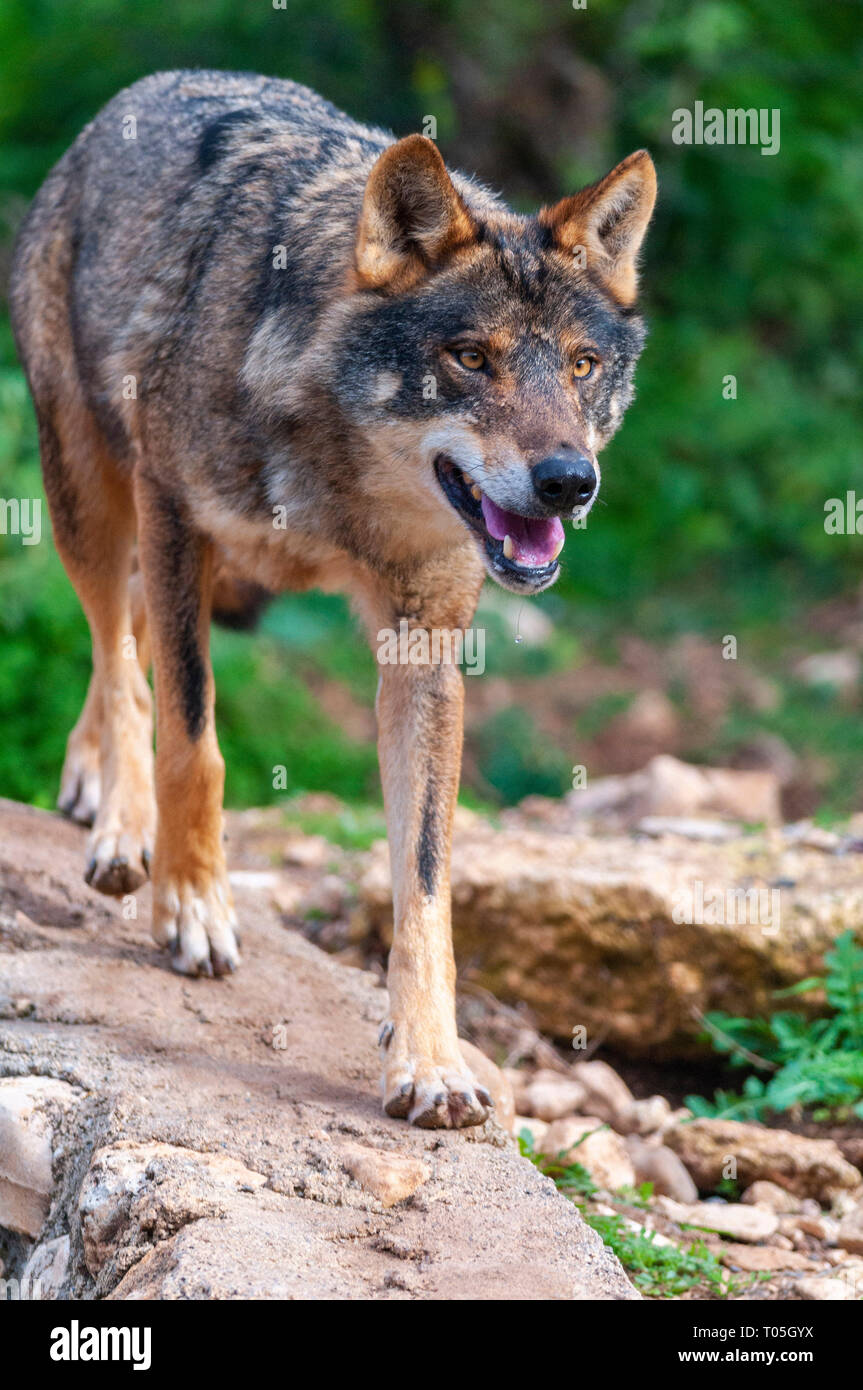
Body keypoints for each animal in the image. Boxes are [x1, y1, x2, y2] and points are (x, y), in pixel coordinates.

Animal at [10, 70, 655, 1128]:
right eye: (470, 358)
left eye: (579, 366)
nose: (568, 482)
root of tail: (143, 91)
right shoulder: (174, 516)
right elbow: (194, 742)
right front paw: (192, 908)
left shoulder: (425, 646)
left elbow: (425, 879)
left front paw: (430, 1061)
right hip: (90, 499)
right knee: (116, 652)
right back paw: (121, 827)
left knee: (124, 652)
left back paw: (91, 784)